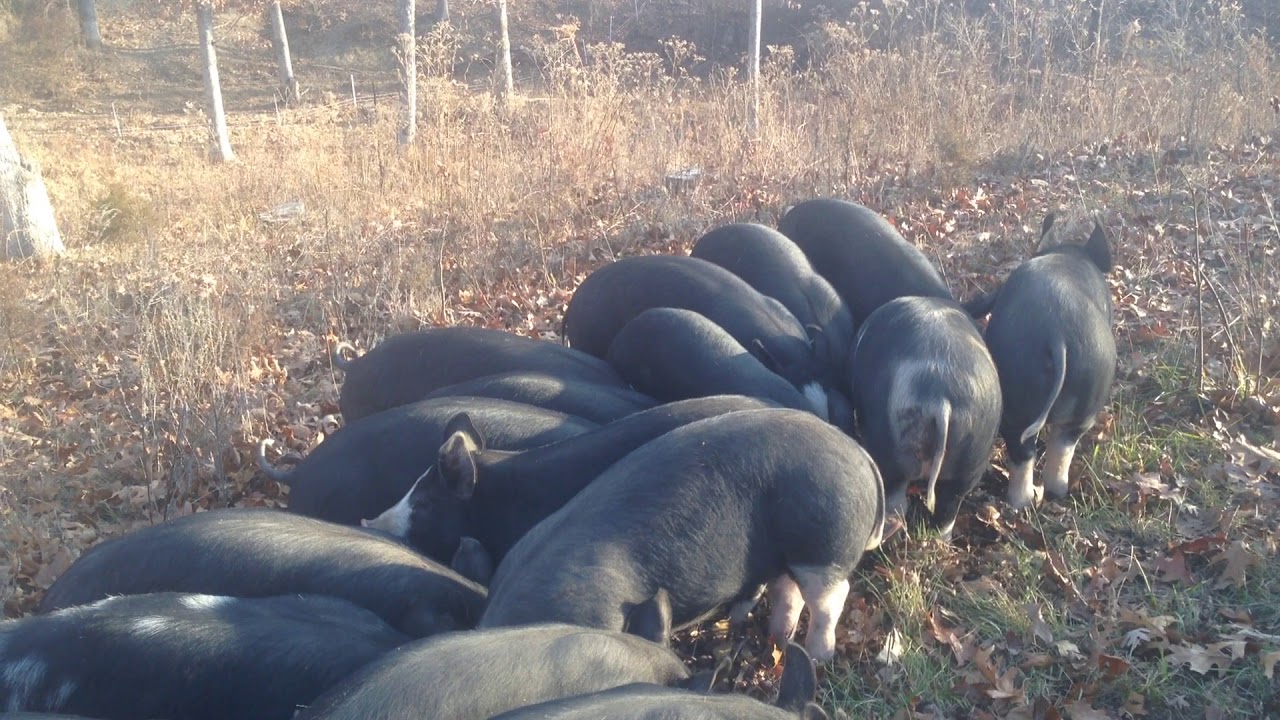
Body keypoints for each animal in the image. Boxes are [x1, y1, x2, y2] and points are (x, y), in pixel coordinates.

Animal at [480, 408, 886, 662]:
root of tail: (862, 455)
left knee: (833, 596)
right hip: (790, 553)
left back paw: (817, 656)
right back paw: (775, 639)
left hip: (824, 543)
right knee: (788, 590)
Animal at [848, 296, 1001, 540]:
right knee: (949, 507)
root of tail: (939, 396)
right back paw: (941, 538)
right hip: (975, 452)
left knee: (896, 505)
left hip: (892, 451)